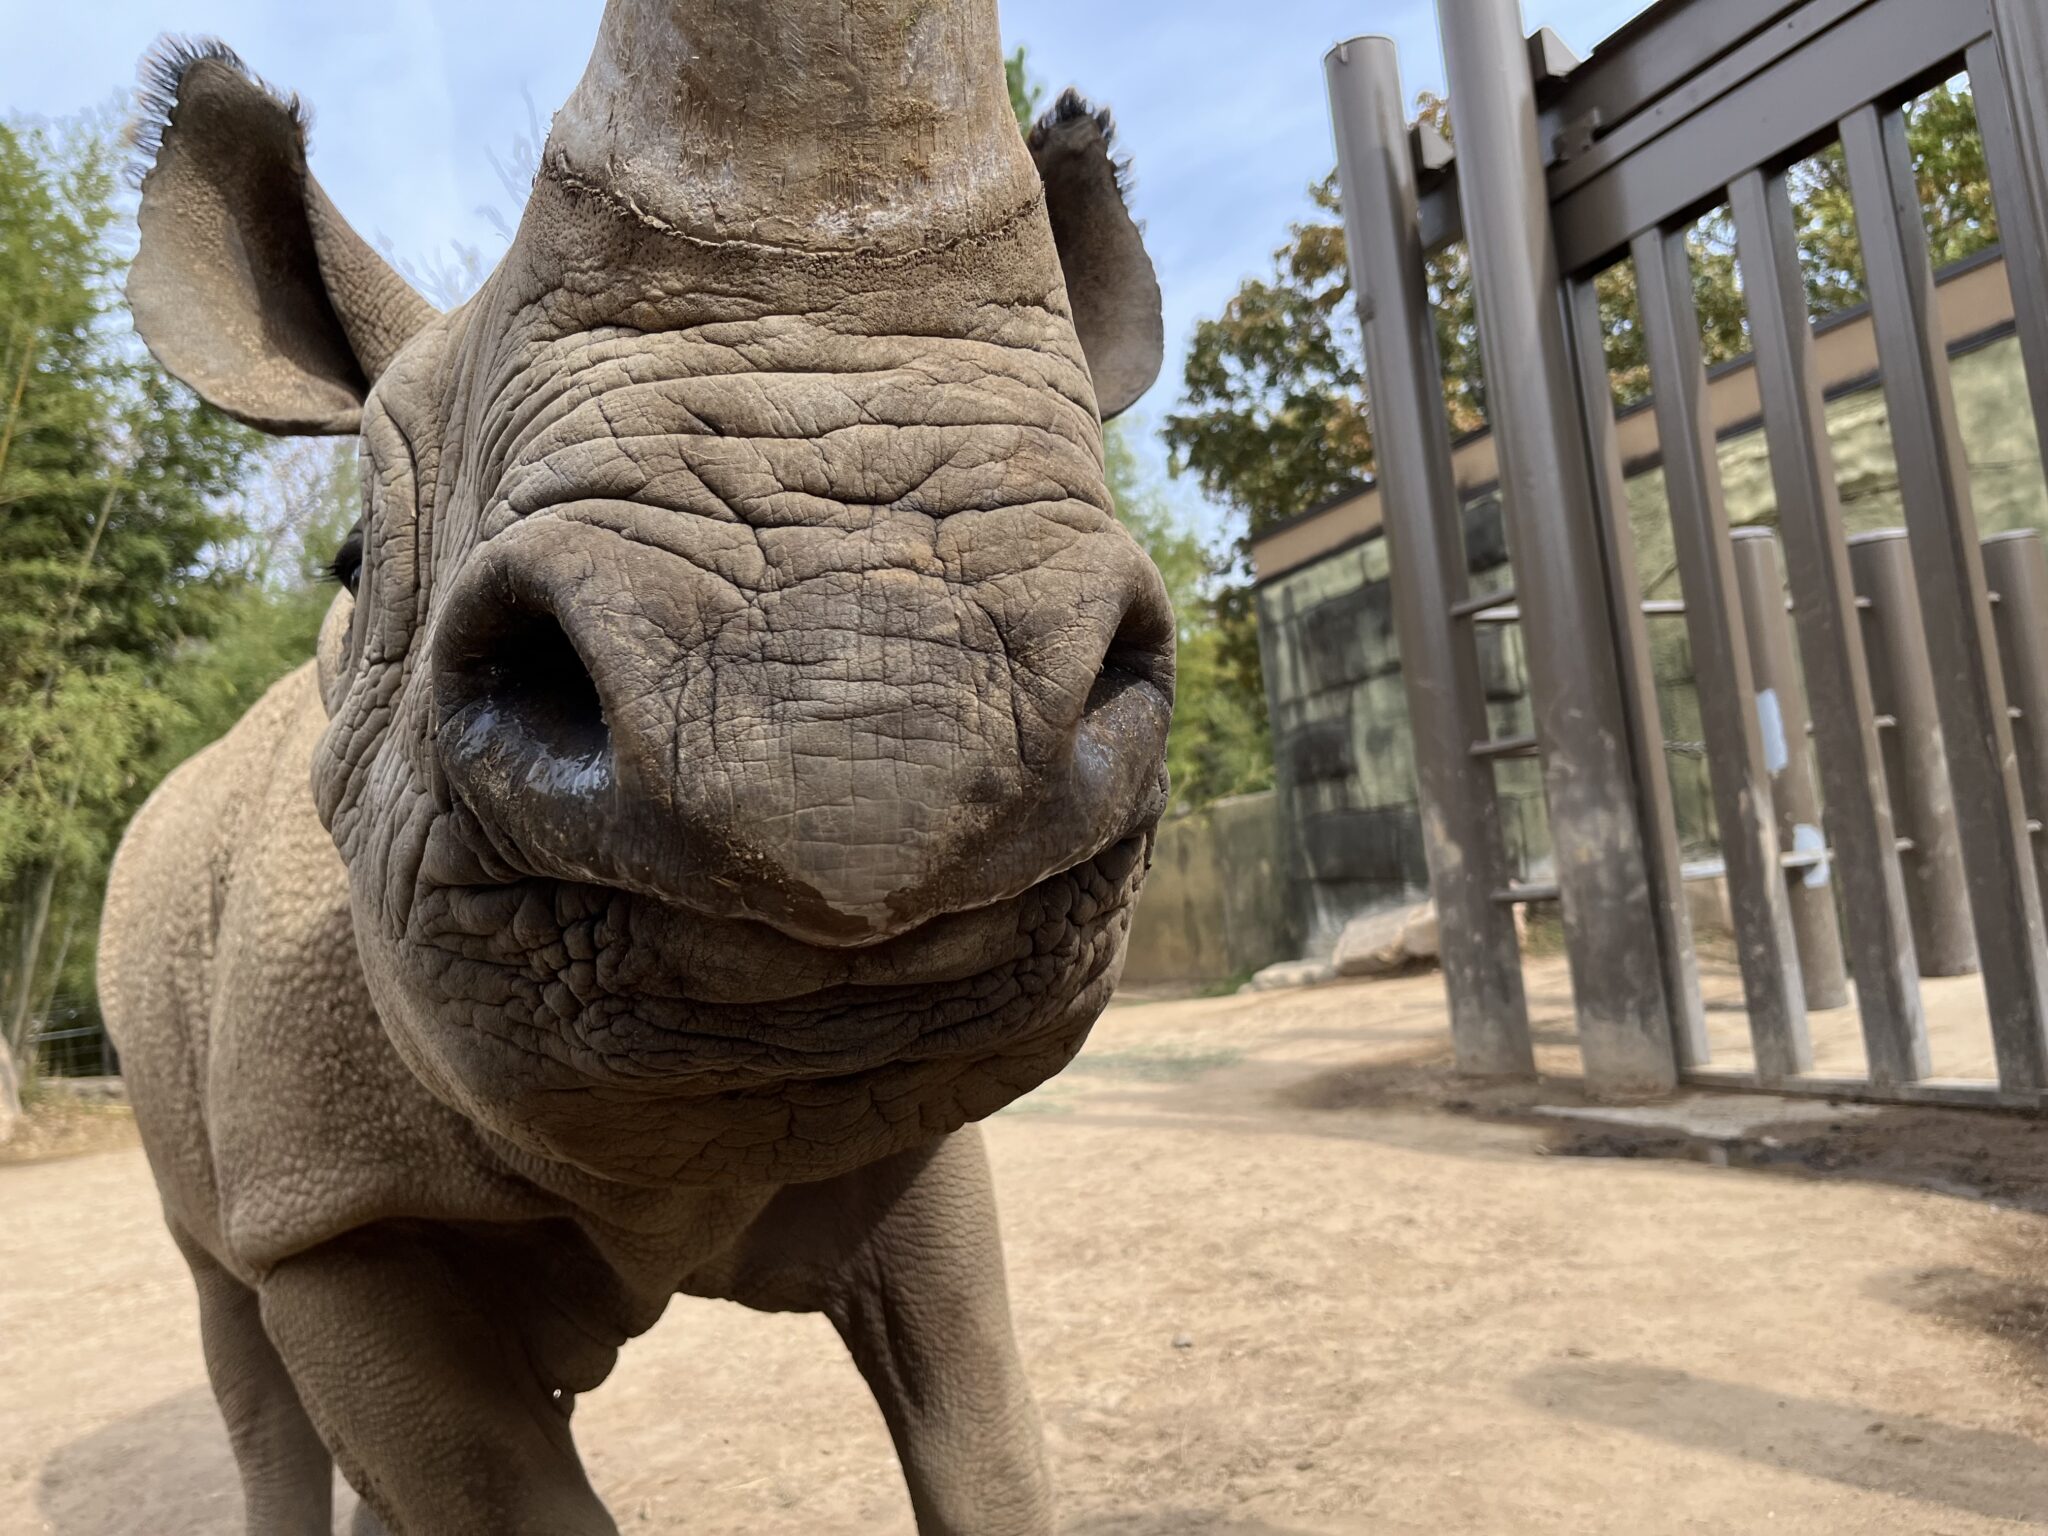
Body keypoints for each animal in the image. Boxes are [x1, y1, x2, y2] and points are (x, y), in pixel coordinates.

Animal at [96, 3, 1172, 1531]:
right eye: (354, 562)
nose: (855, 738)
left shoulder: (910, 1122)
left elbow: (982, 1430)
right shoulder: (330, 1214)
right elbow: (493, 1488)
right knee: (240, 1345)